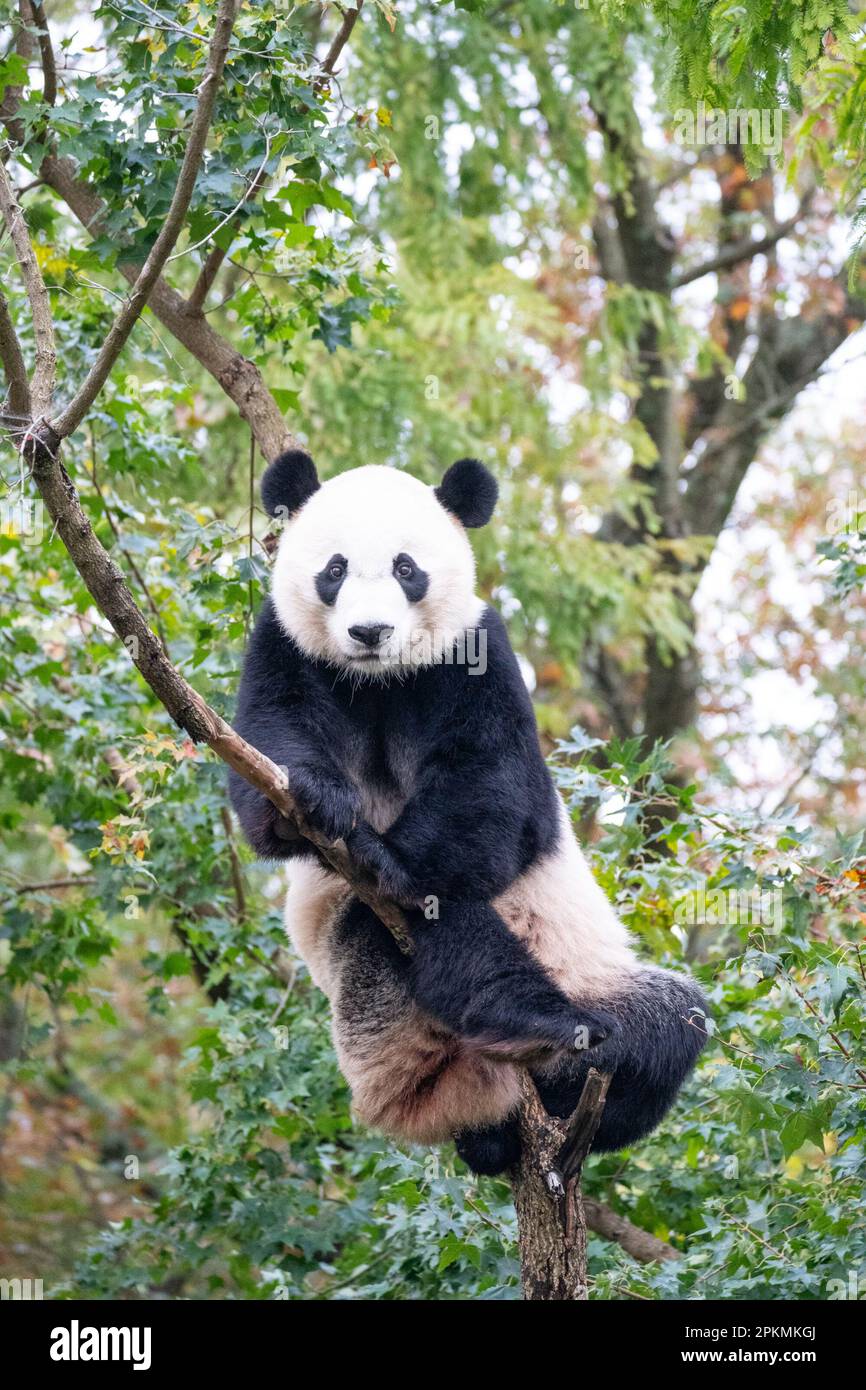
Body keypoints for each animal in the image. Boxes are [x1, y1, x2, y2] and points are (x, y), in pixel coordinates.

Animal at [229, 450, 707, 1175]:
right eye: (334, 570)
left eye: (407, 568)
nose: (370, 632)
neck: (380, 680)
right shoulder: (284, 645)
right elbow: (268, 745)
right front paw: (317, 797)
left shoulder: (478, 653)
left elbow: (497, 792)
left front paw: (388, 854)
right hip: (362, 995)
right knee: (418, 933)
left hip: (594, 979)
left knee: (671, 1025)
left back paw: (553, 1059)